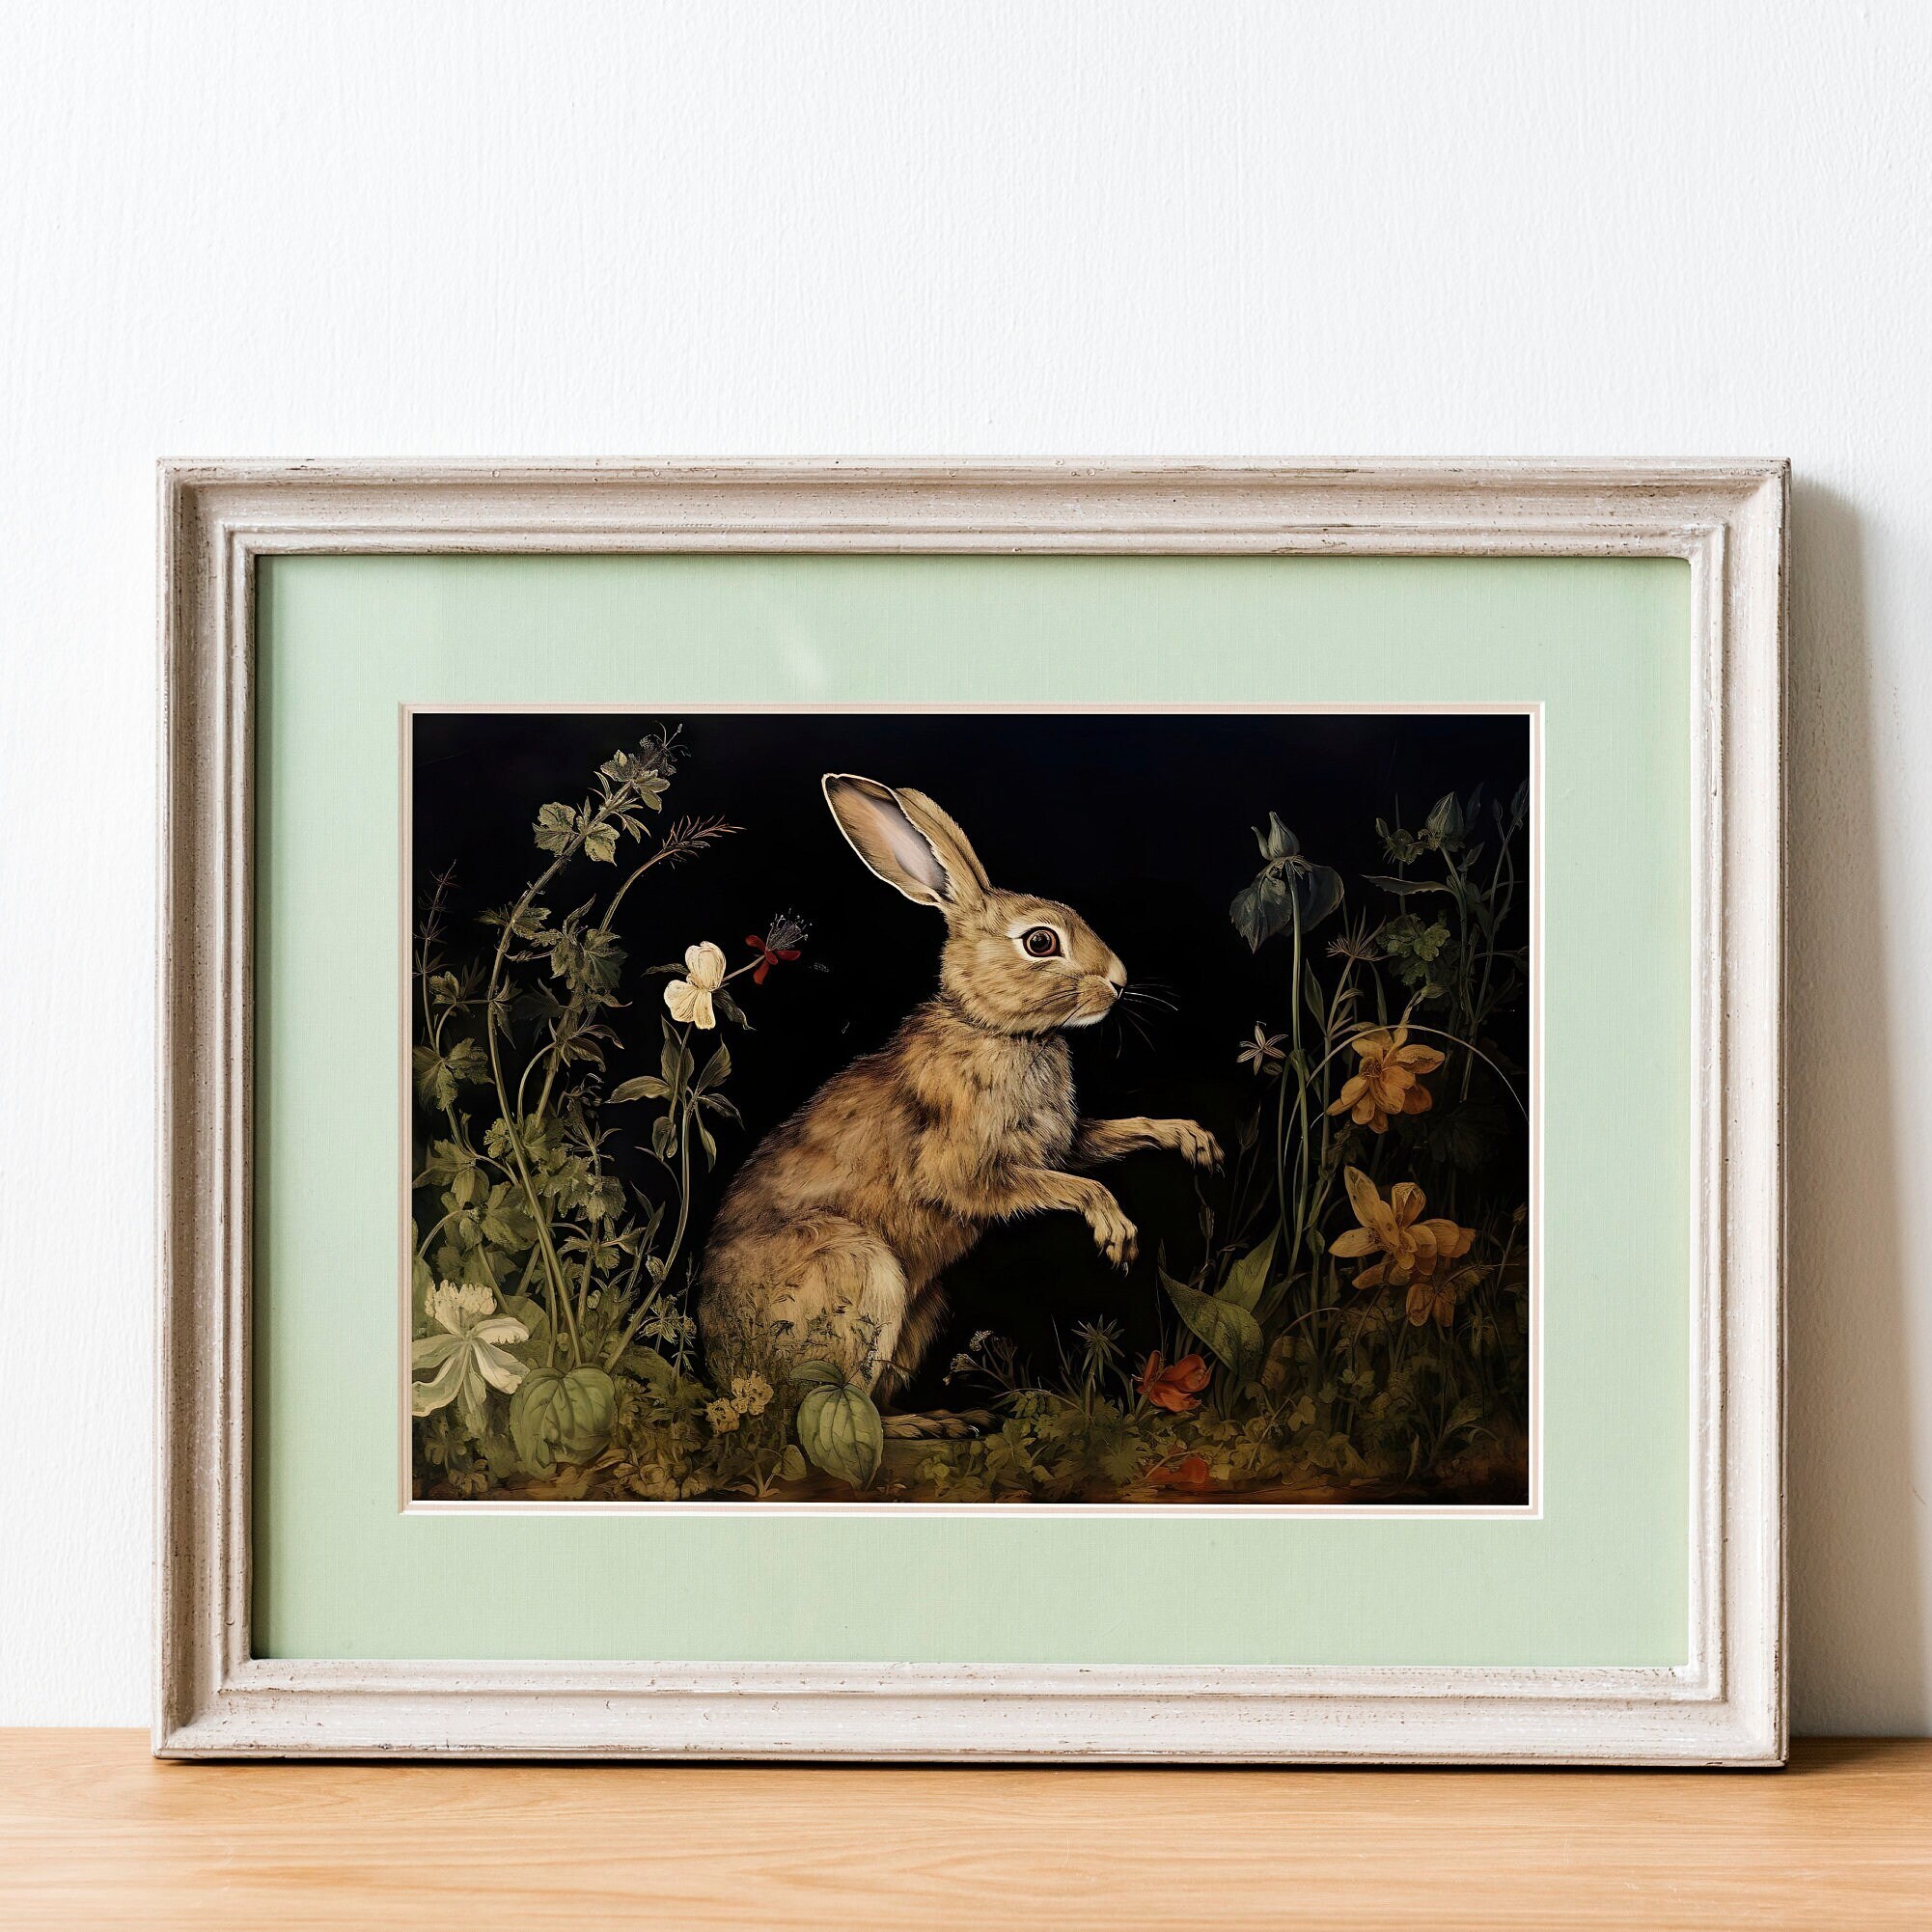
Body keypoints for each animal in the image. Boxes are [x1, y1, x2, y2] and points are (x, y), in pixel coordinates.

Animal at [696, 772, 1222, 1434]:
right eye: (1041, 942)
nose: (1119, 981)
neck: (997, 1029)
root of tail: (732, 1377)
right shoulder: (967, 1170)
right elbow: (1061, 1185)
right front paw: (1115, 1232)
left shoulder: (1060, 1142)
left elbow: (1110, 1136)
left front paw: (1192, 1139)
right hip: (862, 1275)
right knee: (822, 1410)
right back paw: (917, 1427)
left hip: (921, 1311)